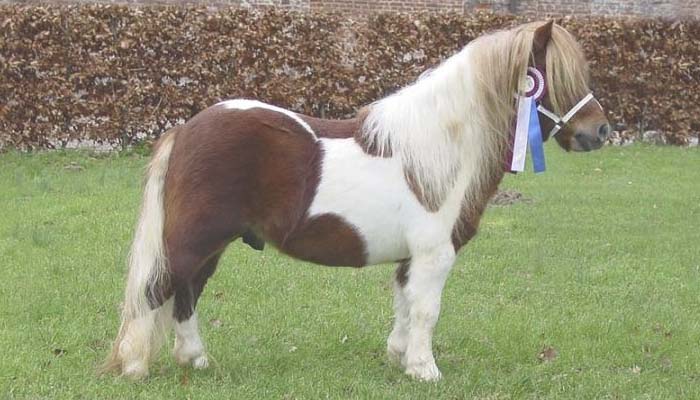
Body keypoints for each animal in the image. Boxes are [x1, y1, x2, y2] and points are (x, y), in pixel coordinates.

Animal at [102, 20, 610, 381]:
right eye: (557, 76)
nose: (600, 131)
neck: (438, 147)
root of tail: (186, 130)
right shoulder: (434, 254)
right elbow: (427, 309)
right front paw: (426, 370)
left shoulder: (411, 258)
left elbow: (404, 303)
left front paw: (400, 358)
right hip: (194, 240)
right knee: (158, 290)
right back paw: (135, 367)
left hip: (211, 244)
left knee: (187, 293)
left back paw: (196, 360)